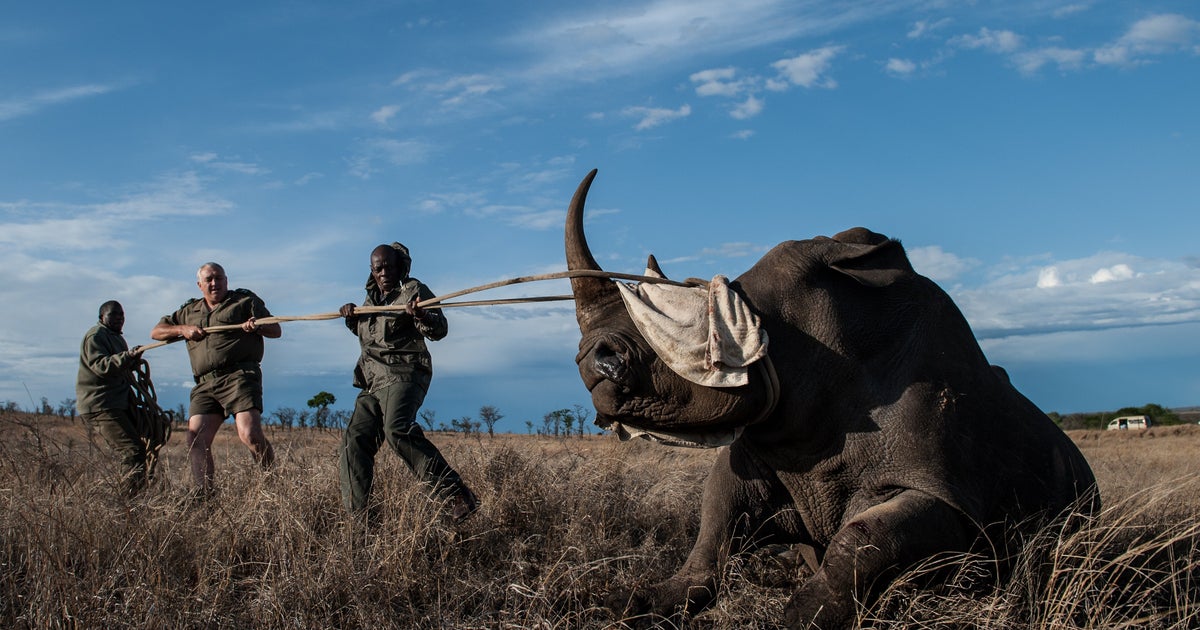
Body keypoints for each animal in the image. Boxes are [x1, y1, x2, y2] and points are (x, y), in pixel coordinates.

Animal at [564, 169, 1099, 628]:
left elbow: (862, 540)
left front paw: (801, 619)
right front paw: (633, 605)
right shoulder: (766, 447)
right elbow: (714, 528)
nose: (593, 363)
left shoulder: (949, 496)